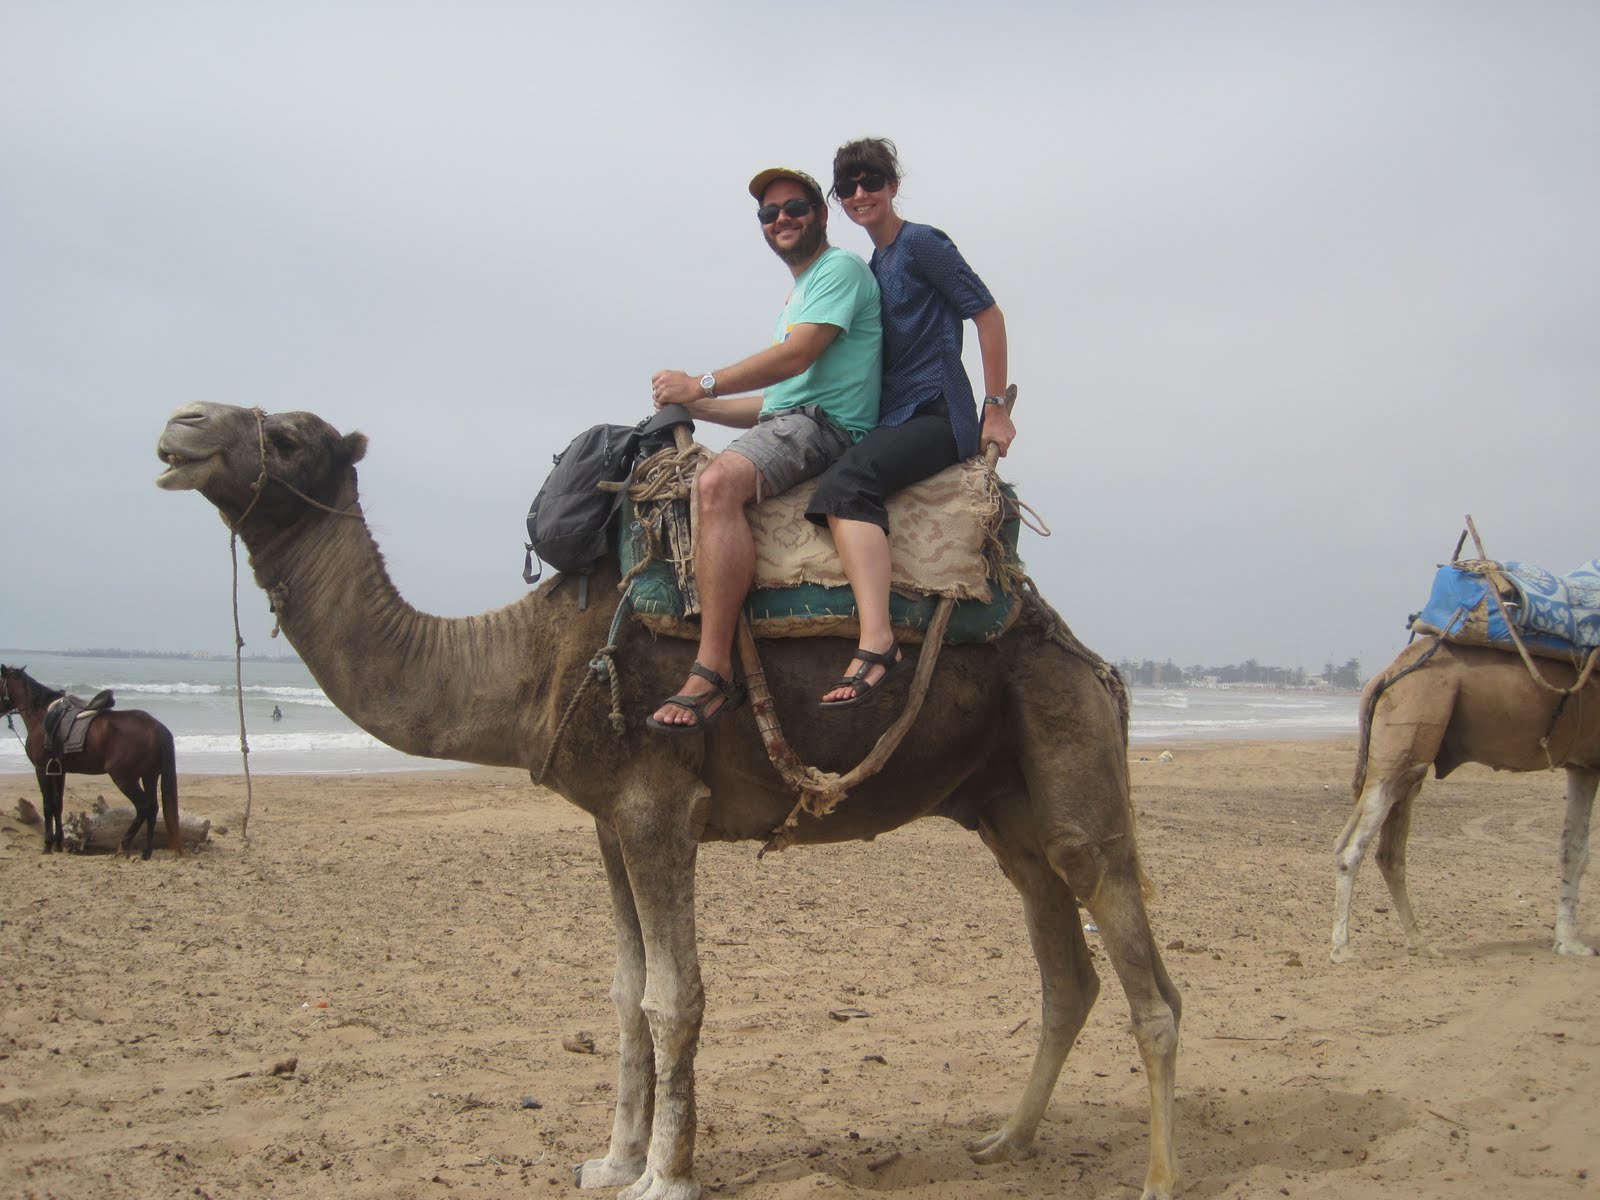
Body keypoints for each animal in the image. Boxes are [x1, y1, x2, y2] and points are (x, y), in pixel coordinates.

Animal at [155, 401, 1181, 1200]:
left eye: (287, 436)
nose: (181, 425)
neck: (532, 663)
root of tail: (1086, 651)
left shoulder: (659, 805)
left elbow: (673, 996)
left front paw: (666, 1175)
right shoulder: (610, 819)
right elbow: (622, 993)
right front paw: (611, 1162)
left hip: (1062, 721)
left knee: (1127, 938)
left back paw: (1157, 1179)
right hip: (999, 796)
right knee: (1064, 956)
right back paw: (1006, 1141)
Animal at [1331, 636, 1600, 963]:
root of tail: (1385, 674)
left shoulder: (1583, 765)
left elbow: (1574, 849)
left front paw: (1567, 942)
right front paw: (1572, 943)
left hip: (1409, 751)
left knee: (1389, 853)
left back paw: (1420, 942)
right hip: (1410, 724)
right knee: (1353, 846)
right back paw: (1343, 948)